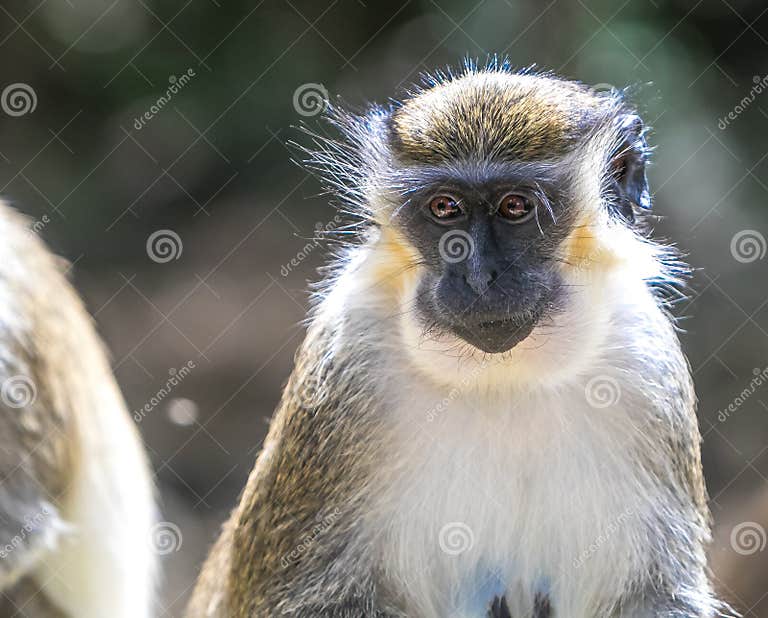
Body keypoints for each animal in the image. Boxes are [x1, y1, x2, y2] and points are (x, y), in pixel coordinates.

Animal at [187, 61, 726, 617]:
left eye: (515, 207)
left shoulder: (646, 364)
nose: (478, 275)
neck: (505, 378)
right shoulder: (344, 360)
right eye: (445, 208)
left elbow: (656, 595)